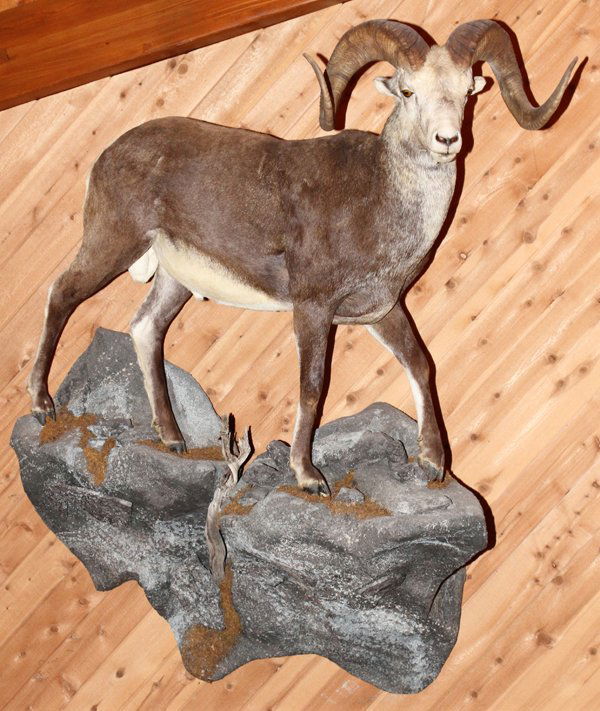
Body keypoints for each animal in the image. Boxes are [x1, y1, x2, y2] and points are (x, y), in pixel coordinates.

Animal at [27, 19, 576, 496]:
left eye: (466, 91)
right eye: (407, 91)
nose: (447, 140)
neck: (379, 200)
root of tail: (109, 156)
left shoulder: (383, 312)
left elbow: (421, 366)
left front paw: (433, 462)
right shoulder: (313, 310)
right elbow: (313, 386)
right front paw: (309, 477)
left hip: (173, 282)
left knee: (146, 329)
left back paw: (172, 438)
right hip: (112, 244)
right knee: (62, 294)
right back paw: (42, 405)